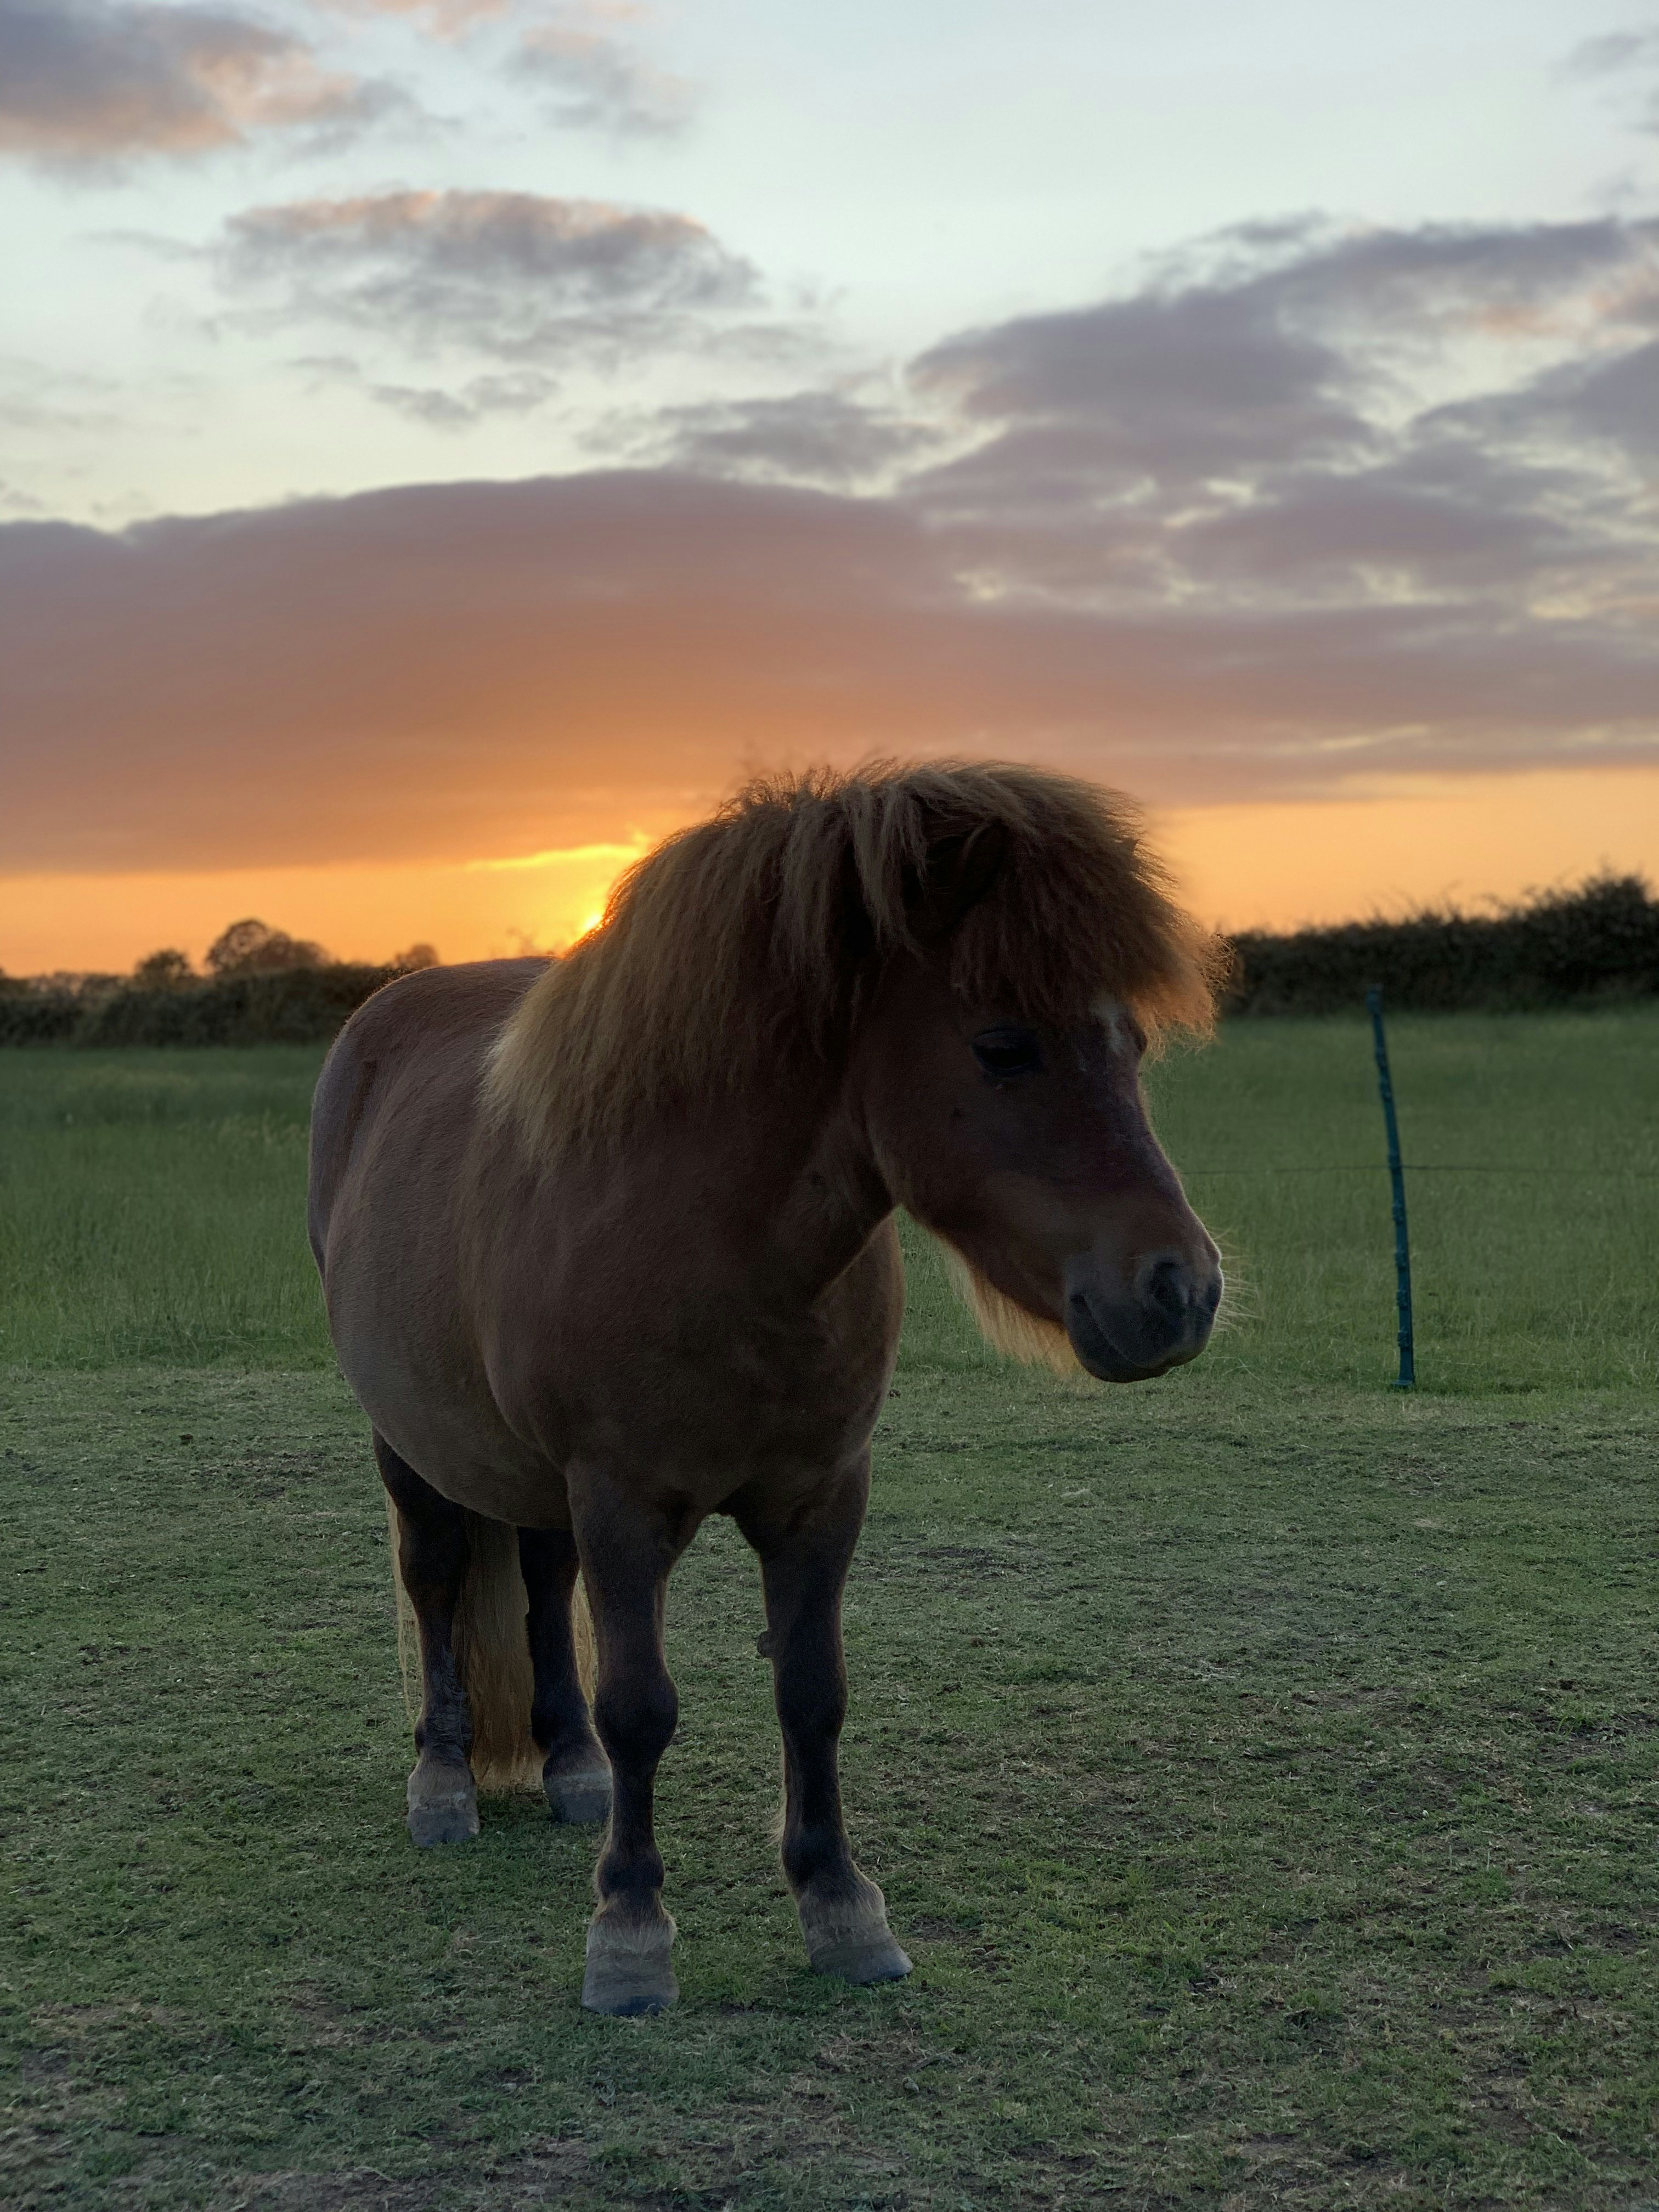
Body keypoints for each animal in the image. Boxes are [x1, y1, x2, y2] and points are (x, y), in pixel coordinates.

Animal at [307, 761, 1223, 2016]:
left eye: (1129, 1041)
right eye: (1001, 1045)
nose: (1178, 1290)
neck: (713, 1240)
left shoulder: (819, 1498)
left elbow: (811, 1690)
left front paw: (840, 1906)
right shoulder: (622, 1505)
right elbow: (642, 1705)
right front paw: (630, 1932)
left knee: (539, 1583)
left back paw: (568, 1766)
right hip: (411, 1443)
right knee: (438, 1575)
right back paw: (444, 1780)